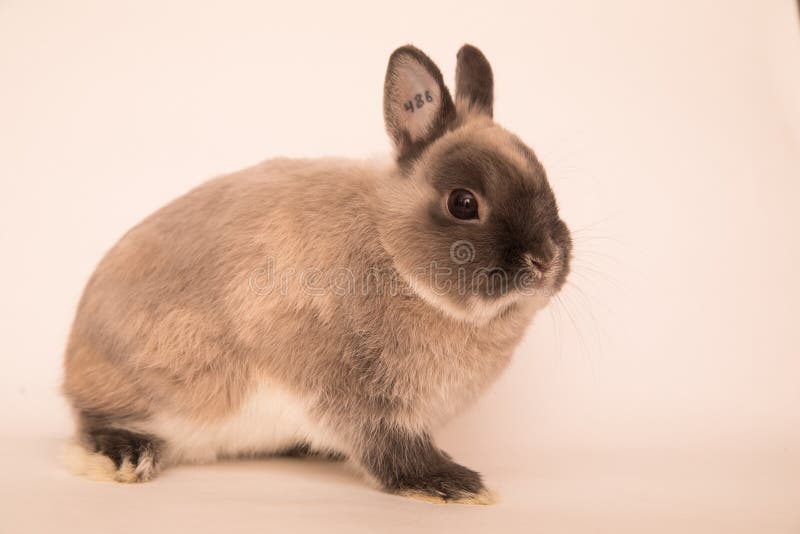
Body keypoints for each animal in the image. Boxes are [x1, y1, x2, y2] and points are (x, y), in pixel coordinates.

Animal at [62, 43, 572, 505]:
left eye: (547, 184)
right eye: (463, 203)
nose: (545, 261)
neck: (394, 256)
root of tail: (74, 362)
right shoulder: (352, 394)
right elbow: (387, 445)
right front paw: (455, 485)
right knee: (94, 423)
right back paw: (126, 455)